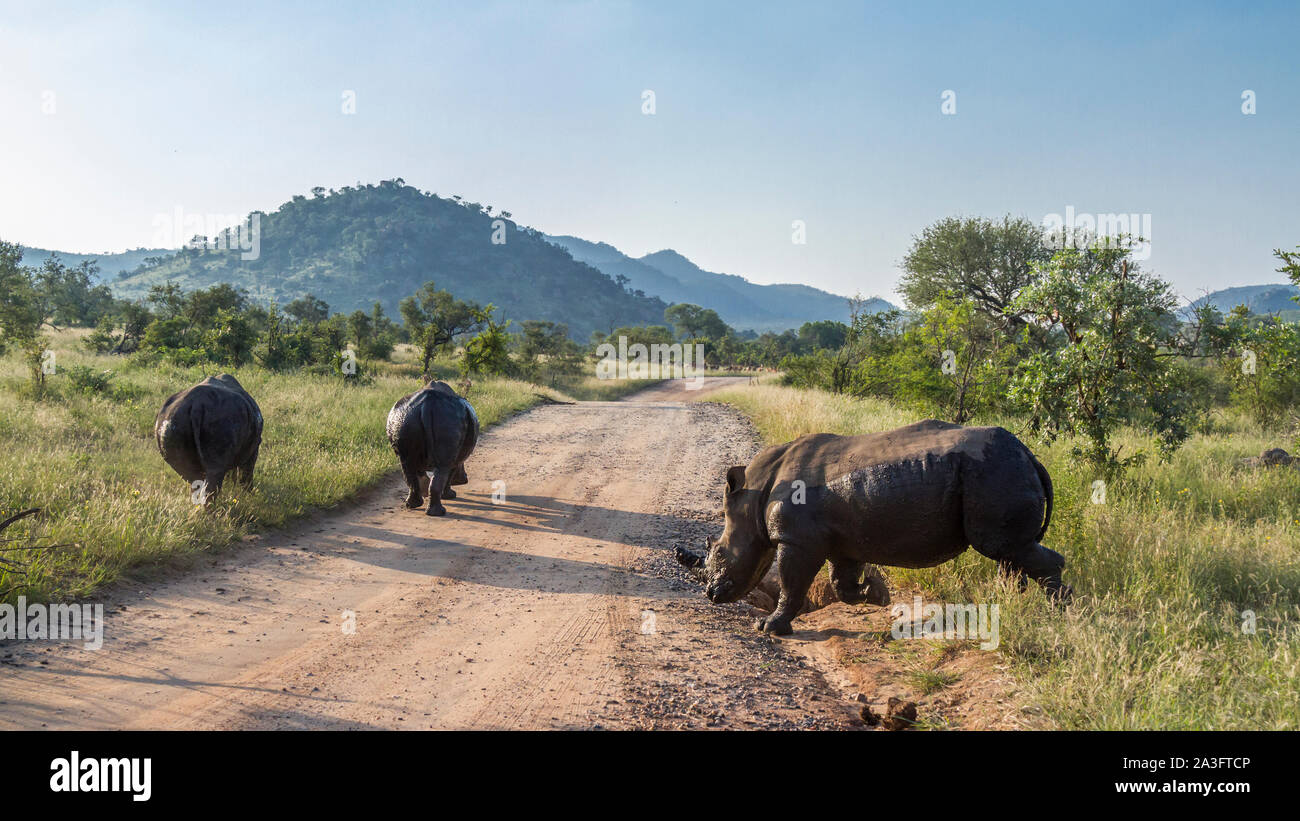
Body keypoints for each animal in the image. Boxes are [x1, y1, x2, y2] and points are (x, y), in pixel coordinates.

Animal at [155, 374, 263, 503]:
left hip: (172, 420)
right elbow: (246, 473)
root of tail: (197, 406)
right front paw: (249, 496)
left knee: (189, 474)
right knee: (215, 471)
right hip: (222, 421)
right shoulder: (255, 447)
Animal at [386, 380, 478, 516]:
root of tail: (427, 405)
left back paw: (413, 505)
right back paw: (438, 512)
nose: (465, 479)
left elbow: (420, 473)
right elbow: (450, 473)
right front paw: (450, 496)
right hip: (447, 420)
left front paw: (425, 491)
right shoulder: (456, 457)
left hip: (405, 420)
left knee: (407, 465)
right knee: (443, 467)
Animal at [678, 420, 1069, 635]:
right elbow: (842, 584)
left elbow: (792, 584)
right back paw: (1009, 606)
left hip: (994, 471)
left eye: (719, 552)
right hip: (997, 470)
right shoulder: (840, 541)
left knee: (1003, 546)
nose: (710, 594)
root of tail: (1030, 454)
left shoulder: (797, 540)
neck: (754, 495)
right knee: (1010, 553)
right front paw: (877, 594)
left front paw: (769, 628)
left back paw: (1060, 614)